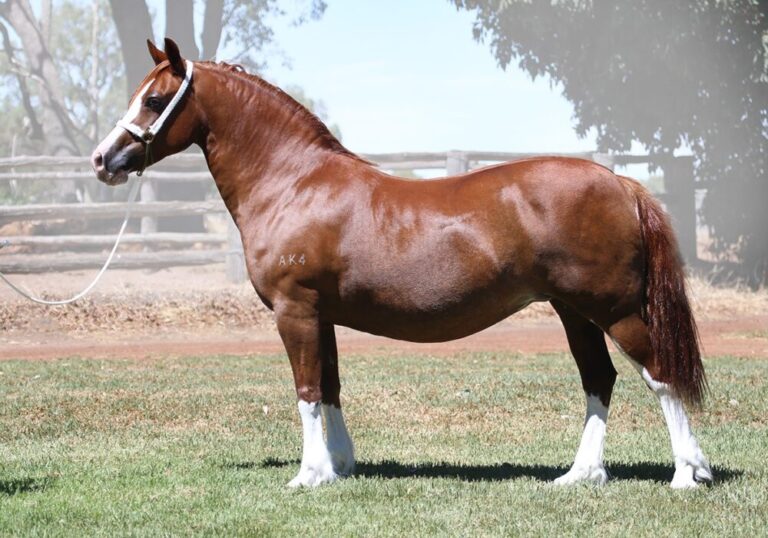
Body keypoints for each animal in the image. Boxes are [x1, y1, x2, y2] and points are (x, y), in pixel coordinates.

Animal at [91, 38, 712, 489]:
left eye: (153, 100)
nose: (102, 160)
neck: (294, 182)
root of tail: (621, 182)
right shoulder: (321, 315)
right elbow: (331, 386)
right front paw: (340, 467)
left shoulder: (295, 311)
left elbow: (307, 390)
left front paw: (308, 476)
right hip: (573, 312)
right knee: (599, 380)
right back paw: (581, 475)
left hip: (613, 310)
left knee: (660, 375)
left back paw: (688, 473)